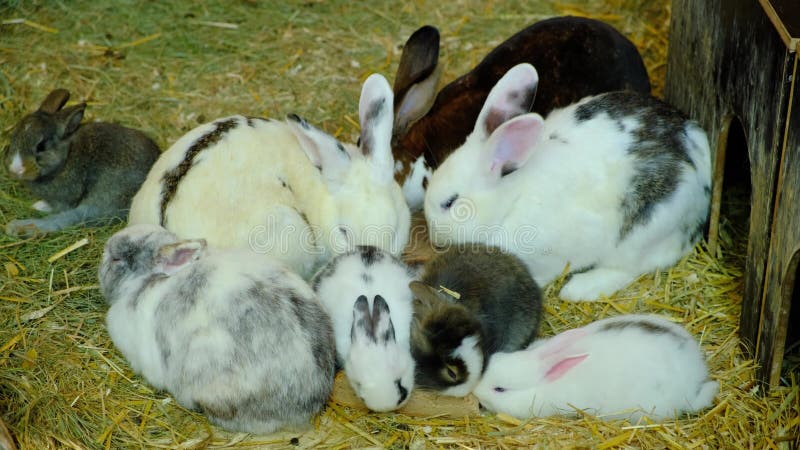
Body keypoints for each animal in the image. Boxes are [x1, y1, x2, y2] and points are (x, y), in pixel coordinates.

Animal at [423, 63, 711, 302]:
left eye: (450, 203)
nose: (434, 238)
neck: (511, 201)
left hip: (642, 235)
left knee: (633, 267)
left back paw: (579, 289)